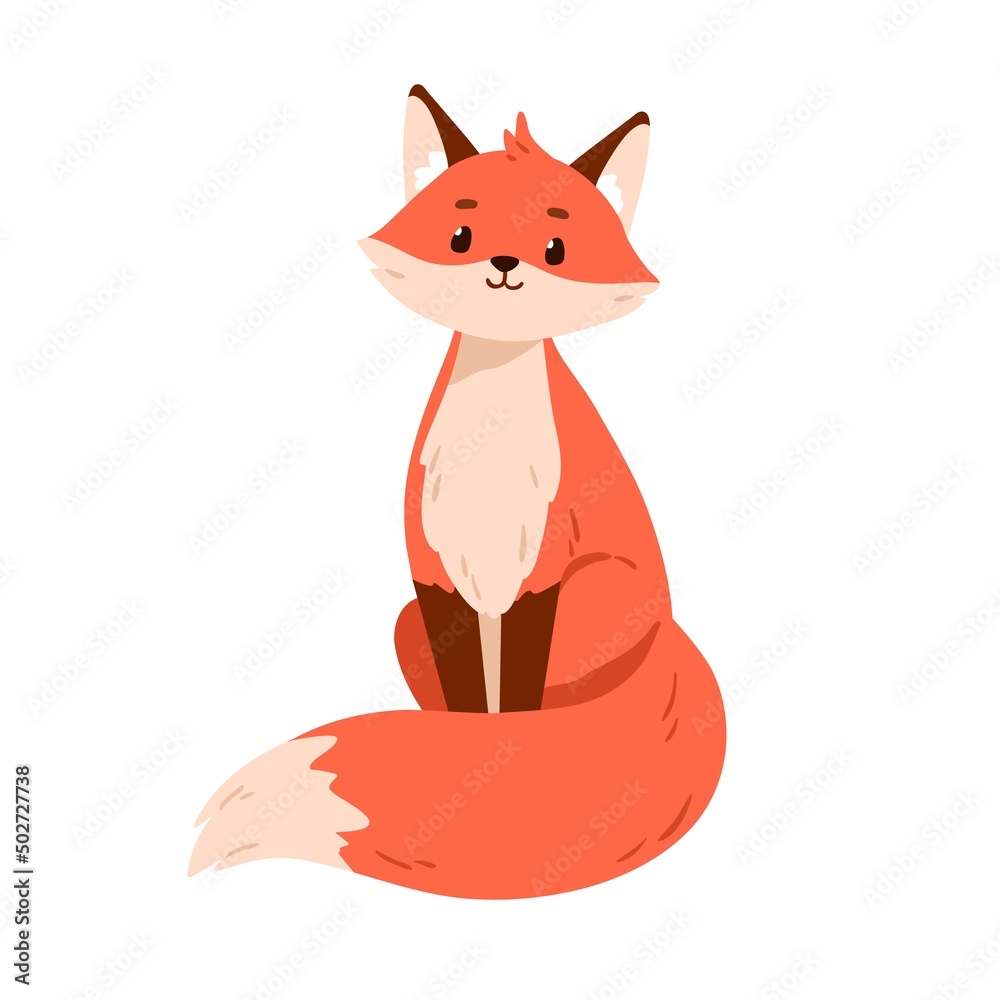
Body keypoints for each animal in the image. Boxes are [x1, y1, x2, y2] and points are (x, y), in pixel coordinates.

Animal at [189, 85, 726, 899]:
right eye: (461, 233)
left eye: (557, 248)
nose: (505, 264)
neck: (489, 455)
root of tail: (673, 639)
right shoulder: (436, 579)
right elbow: (473, 699)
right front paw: (478, 761)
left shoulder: (539, 576)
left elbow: (517, 705)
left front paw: (498, 757)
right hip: (405, 622)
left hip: (592, 599)